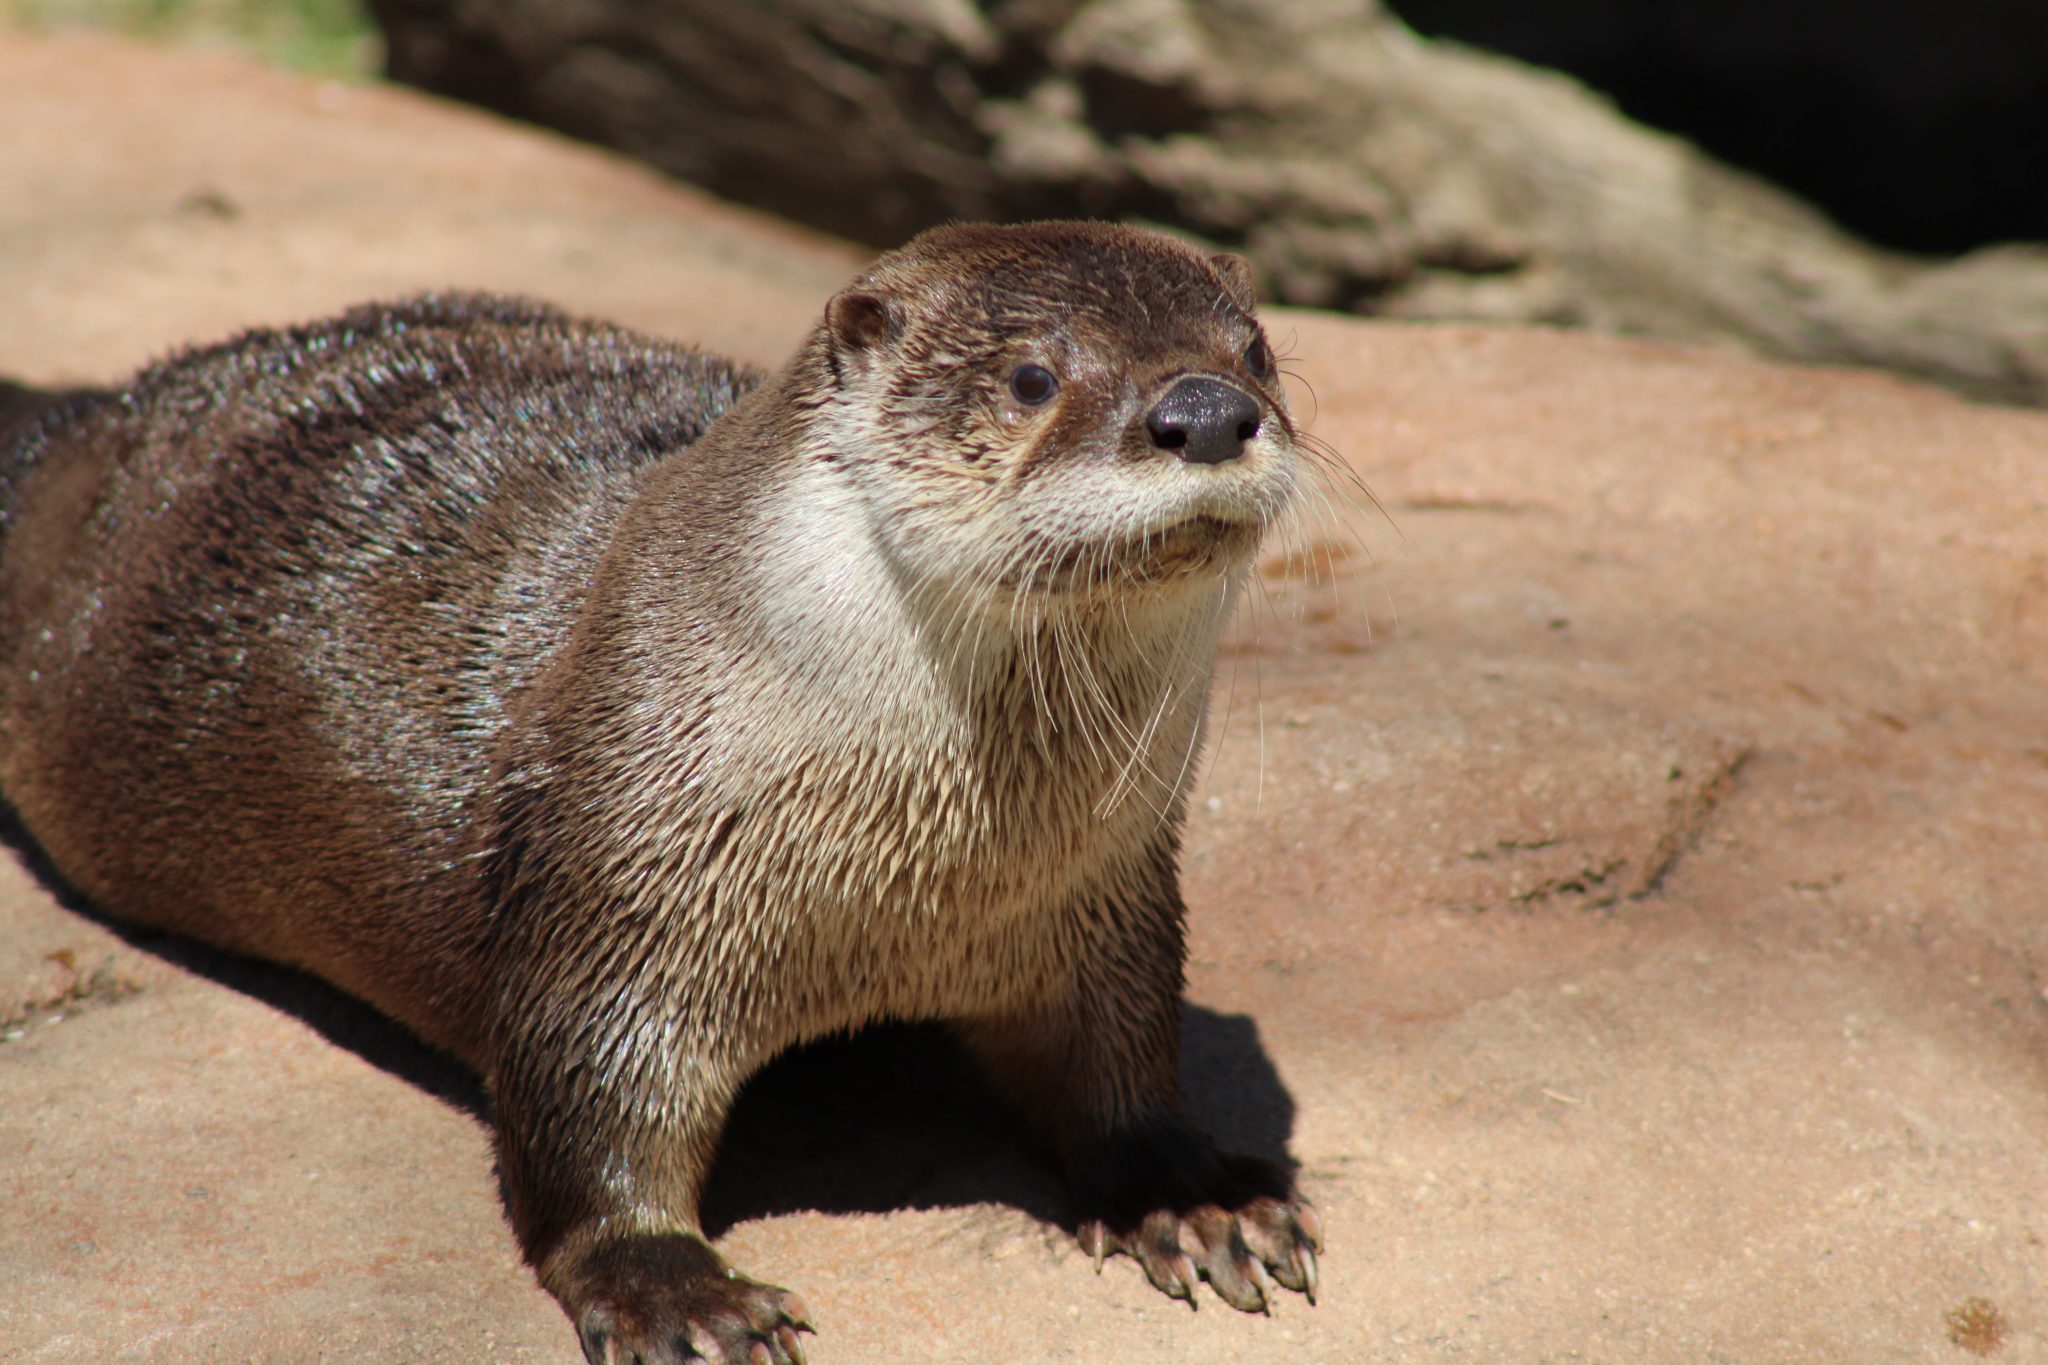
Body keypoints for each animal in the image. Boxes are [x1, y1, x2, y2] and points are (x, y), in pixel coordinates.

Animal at [0, 222, 1321, 1363]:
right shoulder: (613, 888)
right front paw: (669, 1288)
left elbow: (1121, 1057)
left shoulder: (1108, 895)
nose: (1206, 411)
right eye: (1031, 377)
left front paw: (1190, 1194)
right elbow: (586, 1102)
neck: (913, 878)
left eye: (1253, 348)